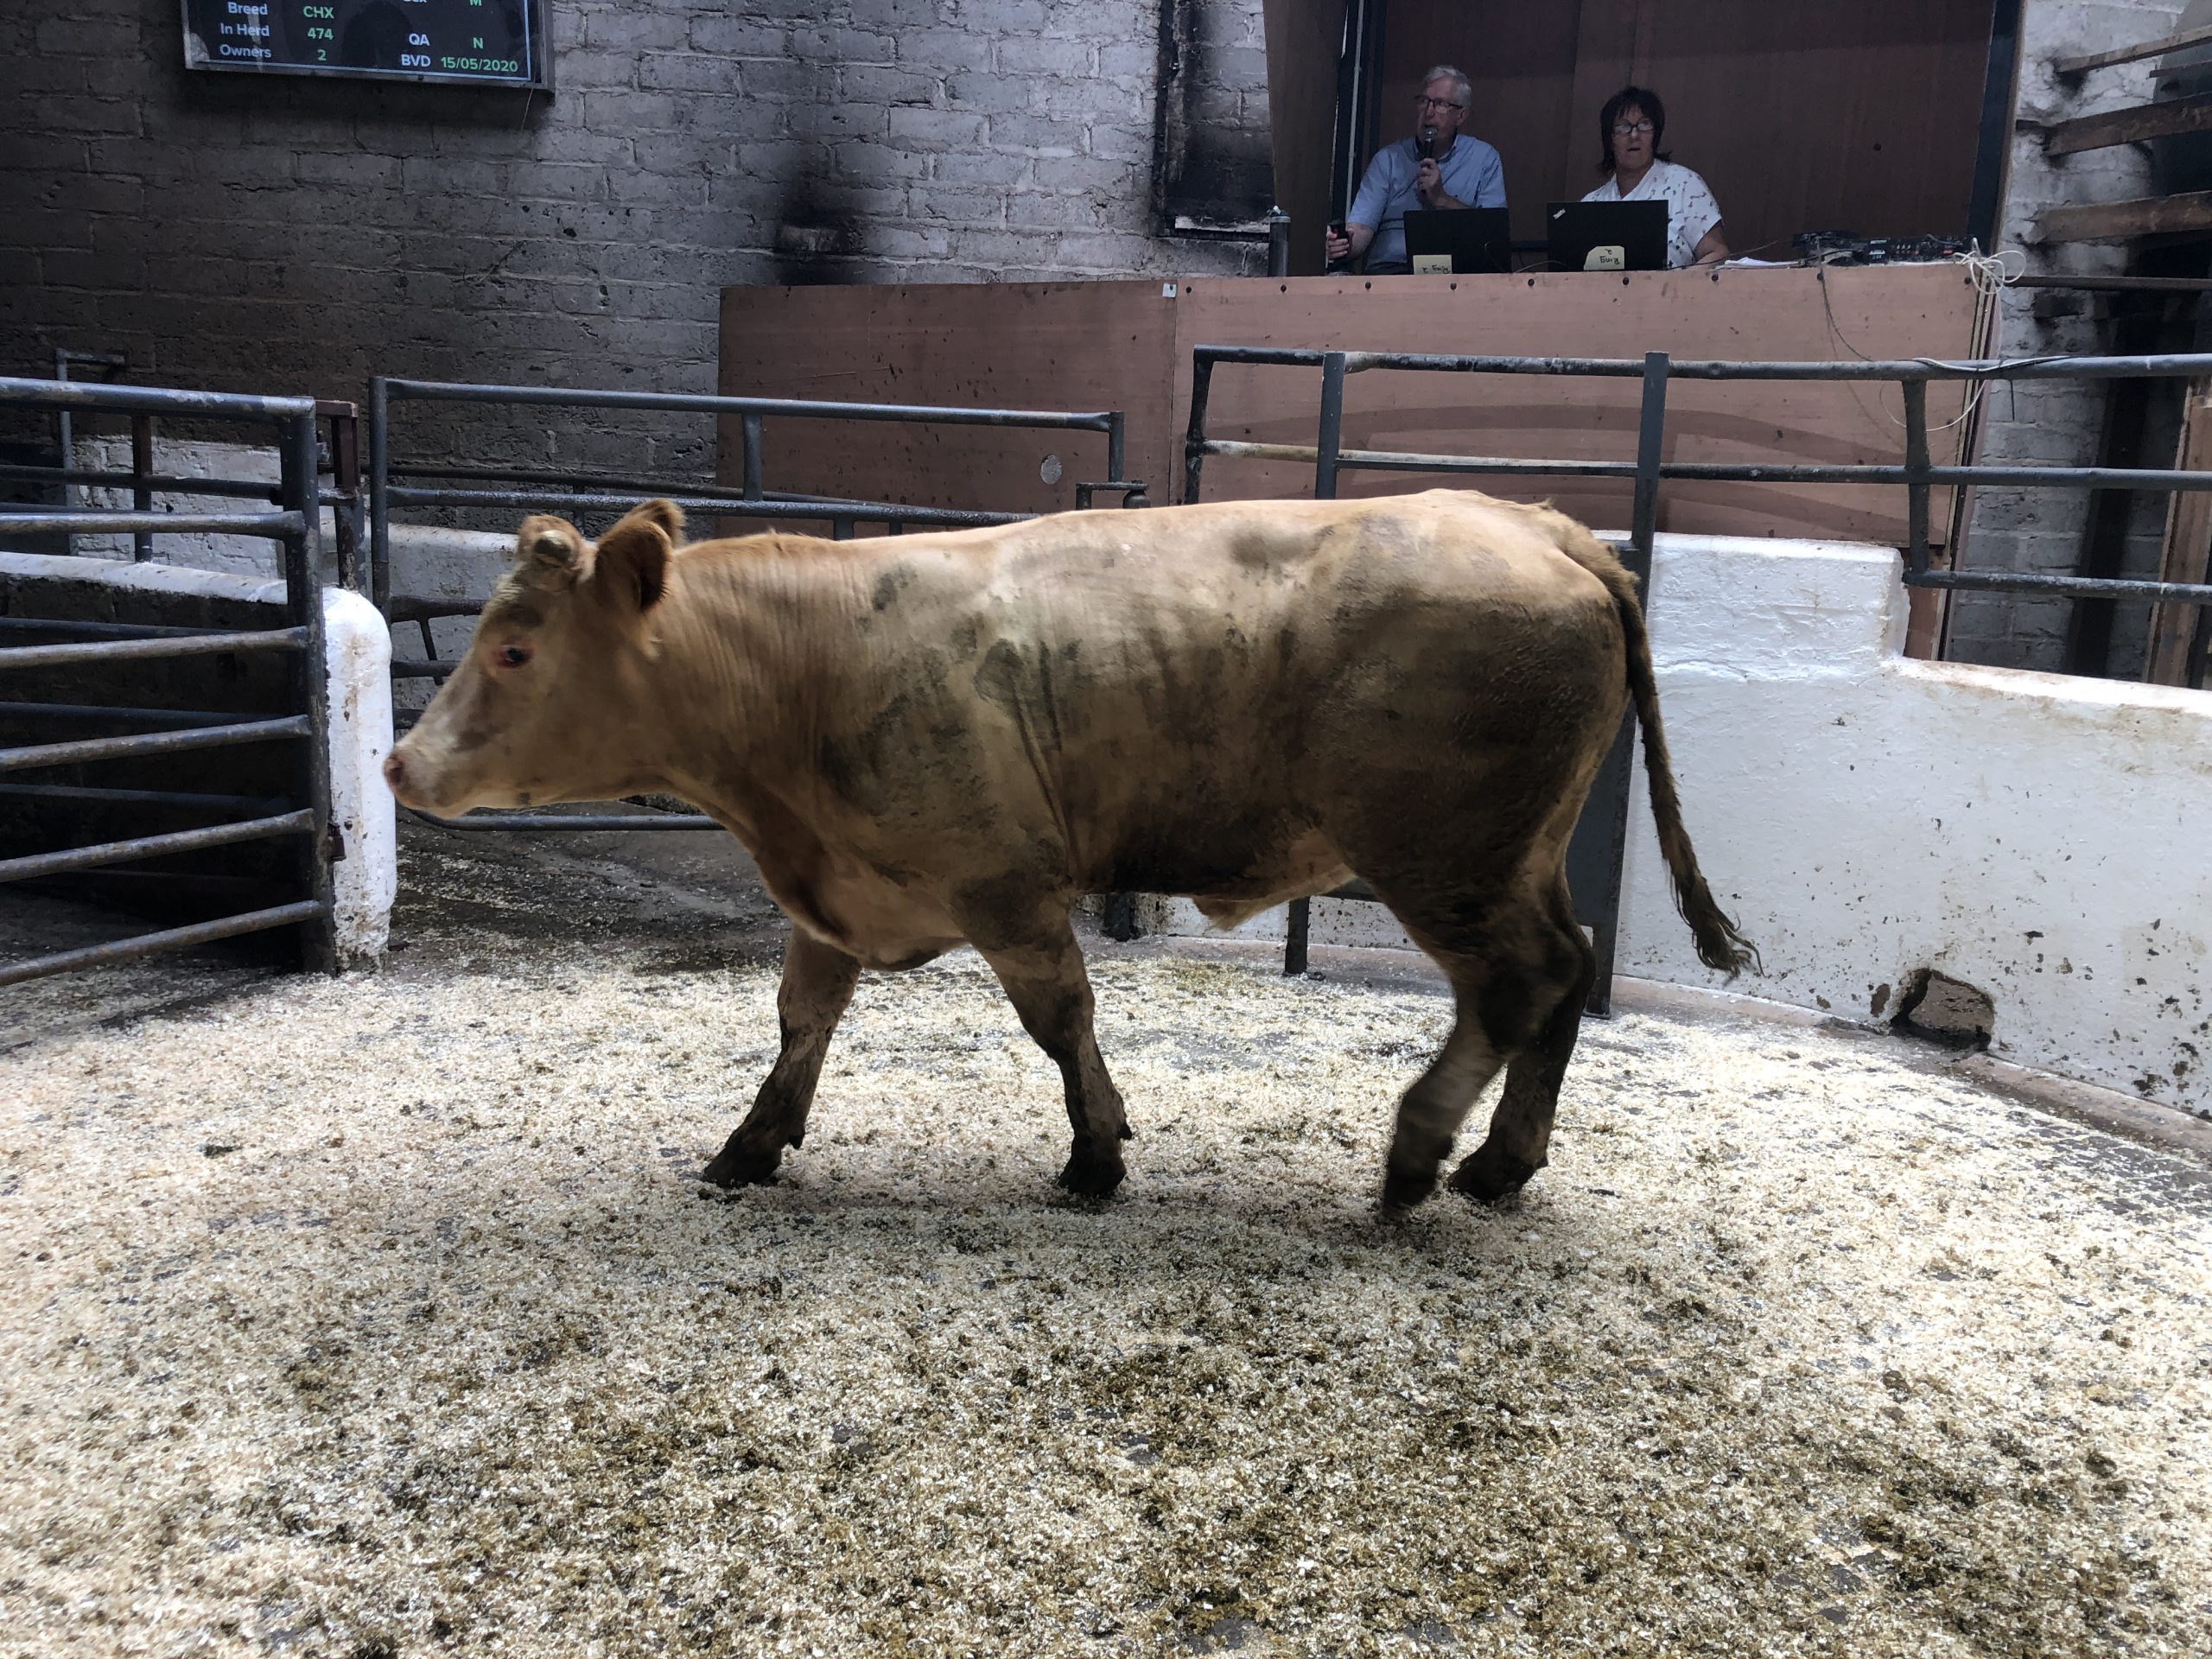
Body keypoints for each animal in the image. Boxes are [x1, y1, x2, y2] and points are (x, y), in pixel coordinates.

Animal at [384, 490, 1751, 1206]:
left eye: (516, 649)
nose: (399, 765)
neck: (806, 662)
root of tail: (1535, 523)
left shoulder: (1007, 887)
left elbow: (1060, 1019)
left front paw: (1095, 1153)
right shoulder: (837, 892)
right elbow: (801, 1020)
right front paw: (750, 1144)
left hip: (1444, 857)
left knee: (1519, 982)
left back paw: (1420, 1153)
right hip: (1514, 853)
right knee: (1564, 970)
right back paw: (1500, 1163)